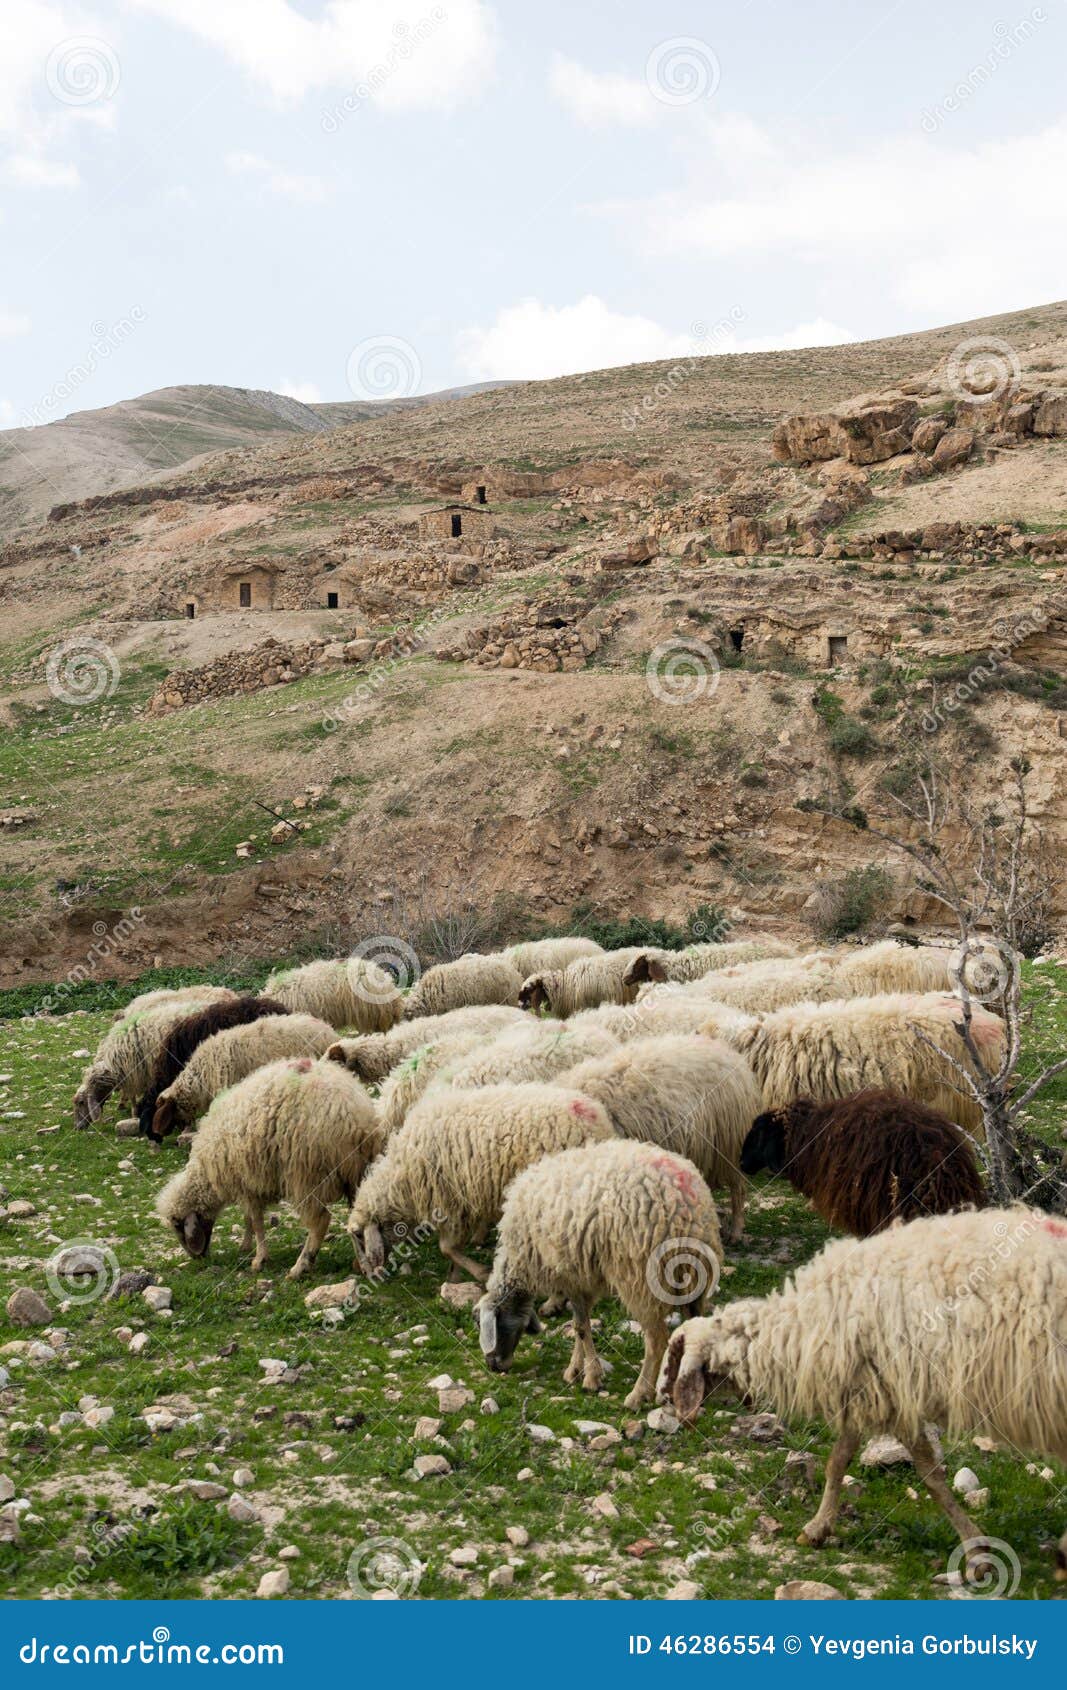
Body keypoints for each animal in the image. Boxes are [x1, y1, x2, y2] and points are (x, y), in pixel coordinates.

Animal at [155, 1055, 384, 1277]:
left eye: (178, 1225)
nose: (197, 1257)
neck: (205, 1175)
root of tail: (354, 1116)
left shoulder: (247, 1184)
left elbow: (256, 1222)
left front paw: (259, 1259)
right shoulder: (249, 1185)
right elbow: (248, 1219)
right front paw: (246, 1247)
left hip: (307, 1175)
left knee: (320, 1221)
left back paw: (301, 1266)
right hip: (356, 1174)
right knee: (357, 1217)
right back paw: (361, 1264)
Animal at [348, 1083, 614, 1283]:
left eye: (359, 1236)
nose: (363, 1273)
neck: (400, 1178)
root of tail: (593, 1115)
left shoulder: (448, 1206)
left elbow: (447, 1248)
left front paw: (480, 1273)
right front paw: (454, 1280)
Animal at [476, 1138, 723, 1408]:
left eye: (485, 1325)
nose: (493, 1366)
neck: (520, 1260)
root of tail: (686, 1200)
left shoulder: (569, 1275)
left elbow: (582, 1327)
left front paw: (591, 1378)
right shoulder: (583, 1277)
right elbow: (579, 1324)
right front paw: (575, 1370)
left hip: (642, 1279)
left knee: (656, 1340)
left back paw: (638, 1394)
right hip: (694, 1278)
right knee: (693, 1330)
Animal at [658, 1207, 1067, 1578]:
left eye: (674, 1358)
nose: (661, 1399)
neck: (803, 1326)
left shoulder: (891, 1391)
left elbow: (929, 1475)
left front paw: (975, 1549)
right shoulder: (867, 1388)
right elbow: (838, 1460)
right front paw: (818, 1528)